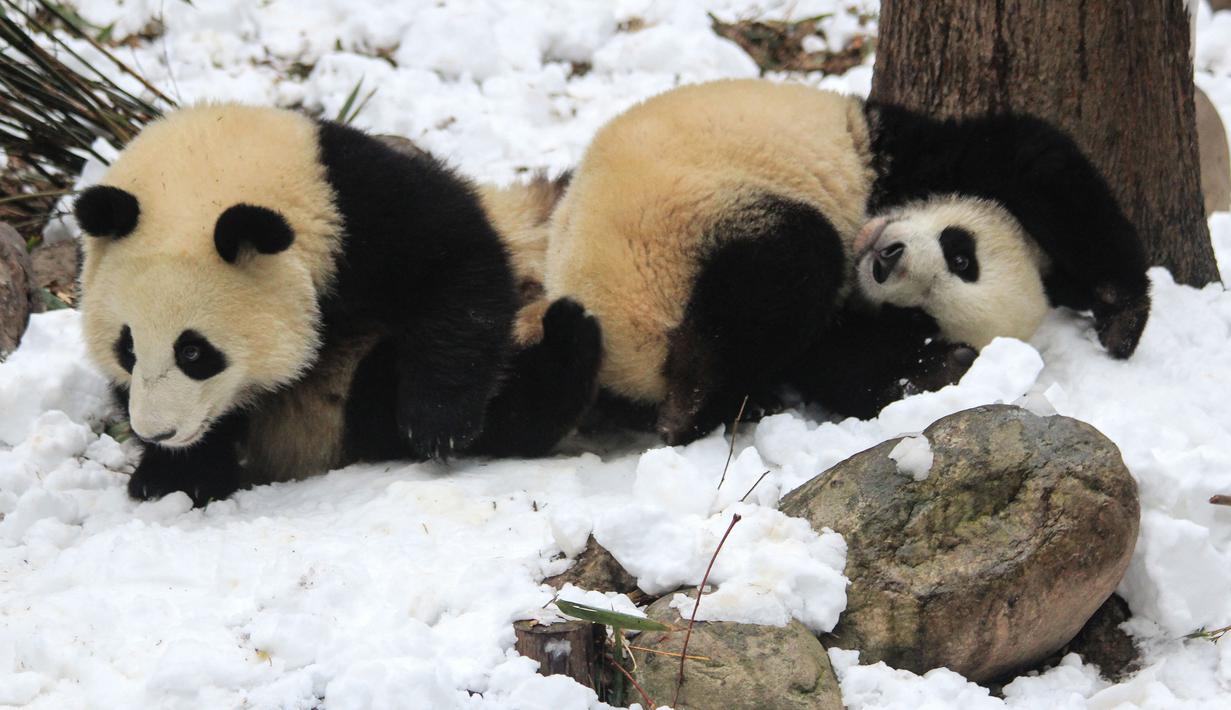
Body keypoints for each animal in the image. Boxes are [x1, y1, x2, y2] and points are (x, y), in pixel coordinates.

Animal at [76, 104, 599, 506]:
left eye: (193, 352)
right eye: (127, 348)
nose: (157, 432)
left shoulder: (357, 202)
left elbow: (459, 268)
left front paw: (438, 422)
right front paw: (175, 476)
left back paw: (570, 337)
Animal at [541, 79, 1150, 443]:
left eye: (918, 317)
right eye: (961, 255)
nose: (886, 262)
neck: (871, 214)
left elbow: (838, 360)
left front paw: (938, 370)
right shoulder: (906, 151)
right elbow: (1035, 160)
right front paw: (1121, 314)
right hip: (677, 222)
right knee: (795, 259)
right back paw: (693, 402)